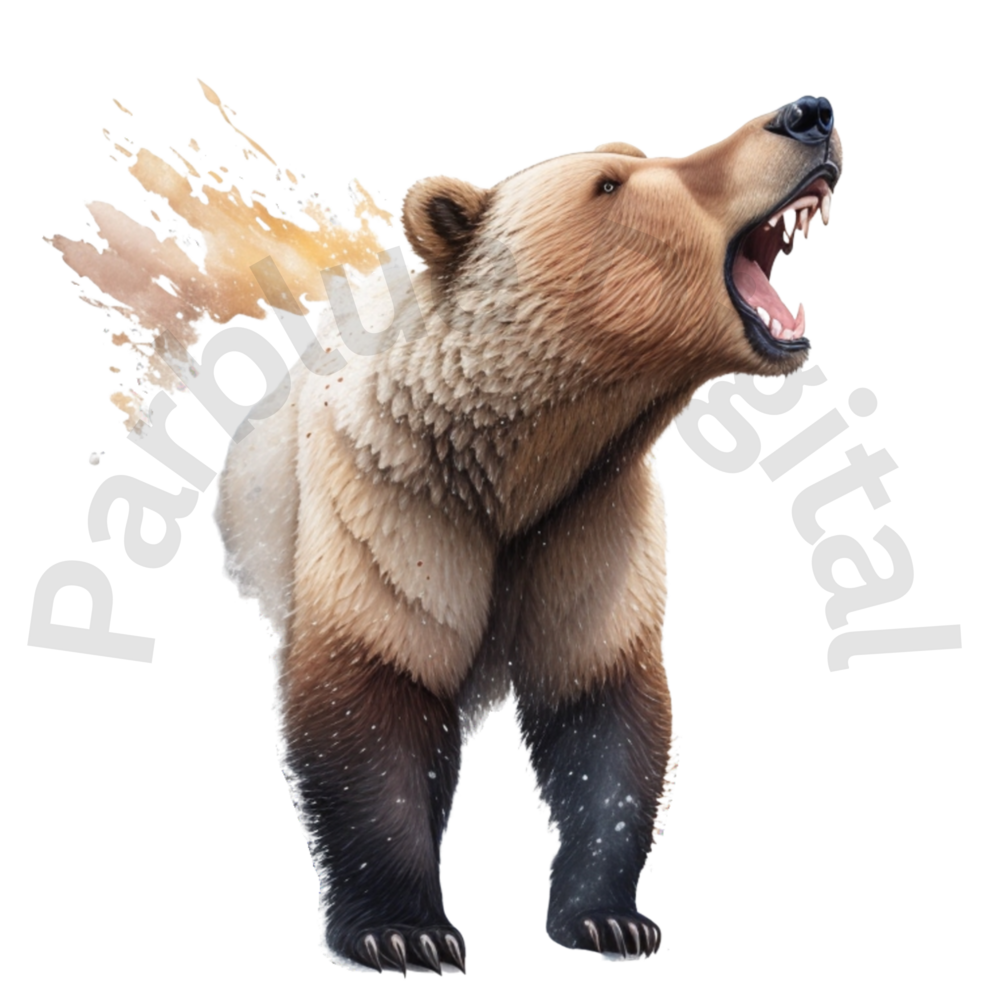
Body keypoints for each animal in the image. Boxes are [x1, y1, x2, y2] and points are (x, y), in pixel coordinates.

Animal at [217, 96, 842, 974]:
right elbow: (375, 686)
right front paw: (404, 929)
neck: (517, 459)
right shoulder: (391, 499)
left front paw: (609, 917)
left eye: (629, 157)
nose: (805, 113)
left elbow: (601, 703)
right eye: (609, 183)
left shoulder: (589, 517)